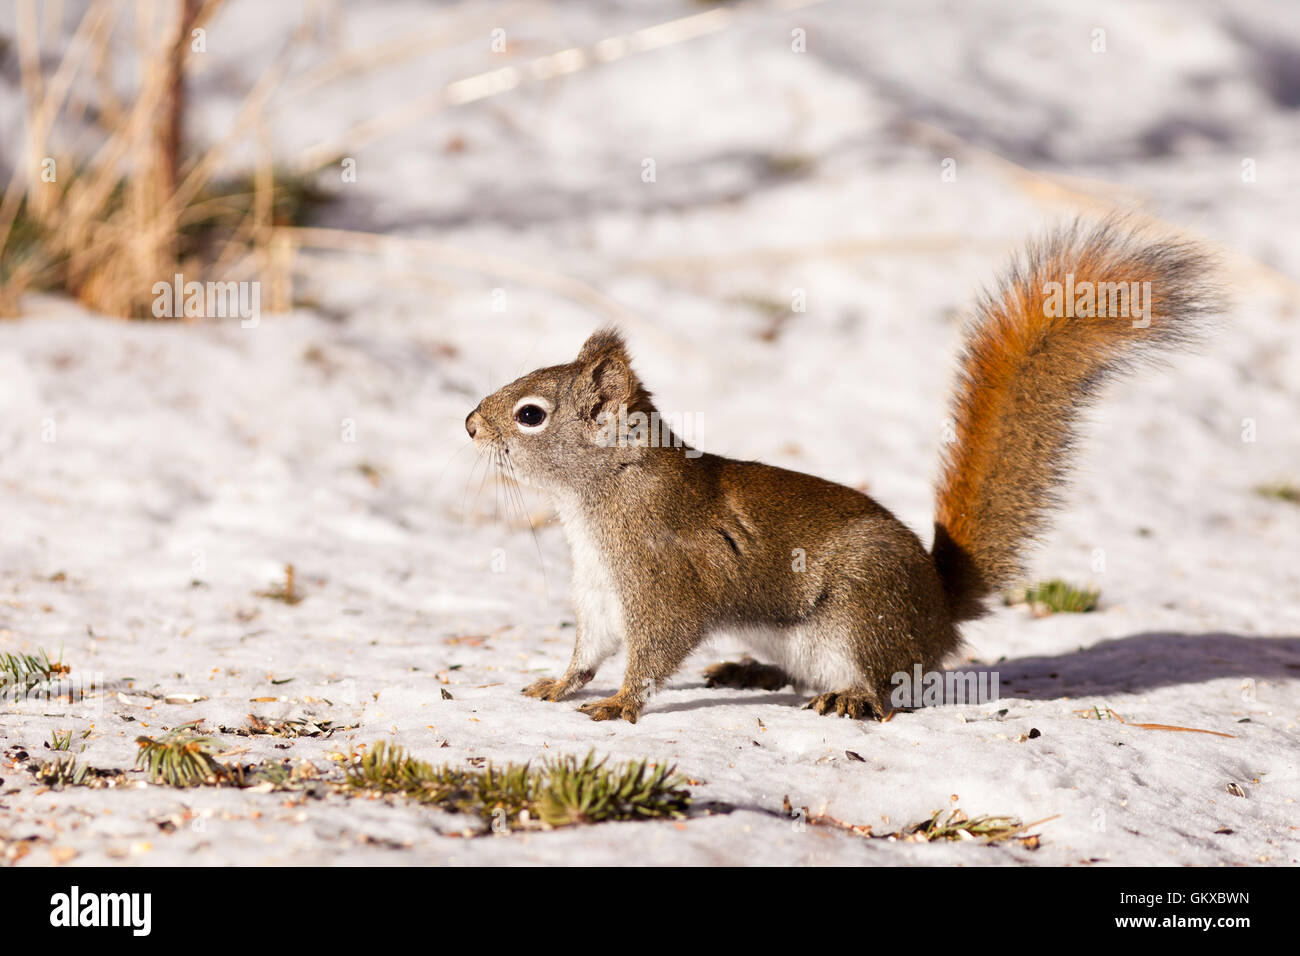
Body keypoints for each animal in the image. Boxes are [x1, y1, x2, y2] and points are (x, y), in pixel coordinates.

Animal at [465, 216, 1221, 723]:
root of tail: (939, 613)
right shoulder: (598, 587)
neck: (599, 498)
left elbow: (657, 648)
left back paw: (850, 699)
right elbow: (589, 644)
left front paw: (620, 703)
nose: (470, 424)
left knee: (888, 689)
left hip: (864, 609)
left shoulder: (664, 579)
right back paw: (747, 670)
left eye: (530, 414)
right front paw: (559, 684)